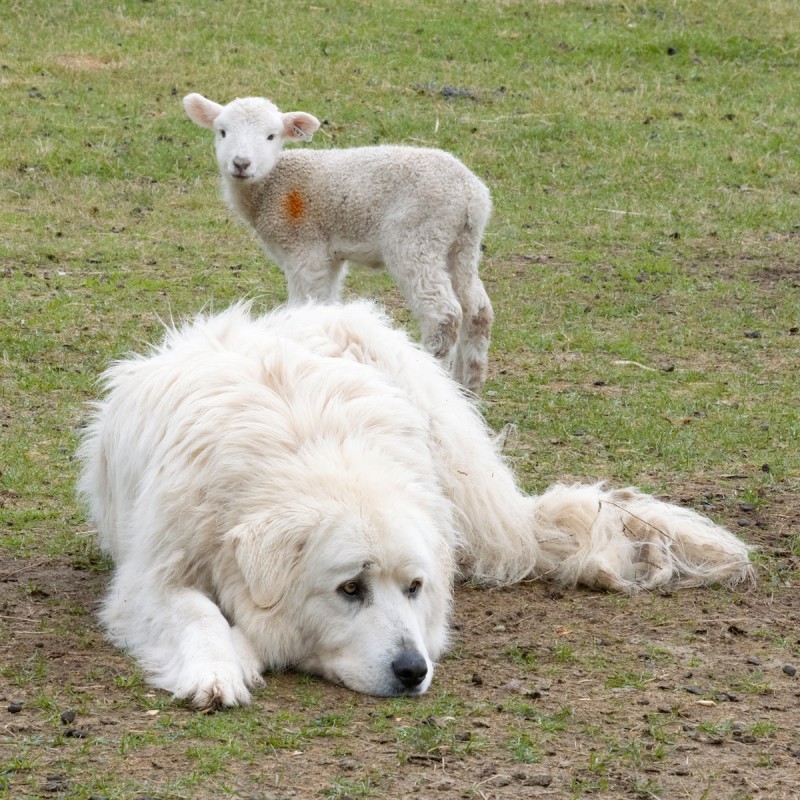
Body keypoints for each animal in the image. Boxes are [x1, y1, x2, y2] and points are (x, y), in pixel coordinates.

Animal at [183, 92, 494, 394]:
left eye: (271, 136)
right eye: (222, 132)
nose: (241, 164)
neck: (273, 188)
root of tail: (471, 195)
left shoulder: (304, 247)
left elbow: (305, 305)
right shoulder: (329, 255)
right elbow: (326, 305)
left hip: (417, 237)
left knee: (443, 314)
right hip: (460, 244)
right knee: (477, 308)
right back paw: (468, 386)